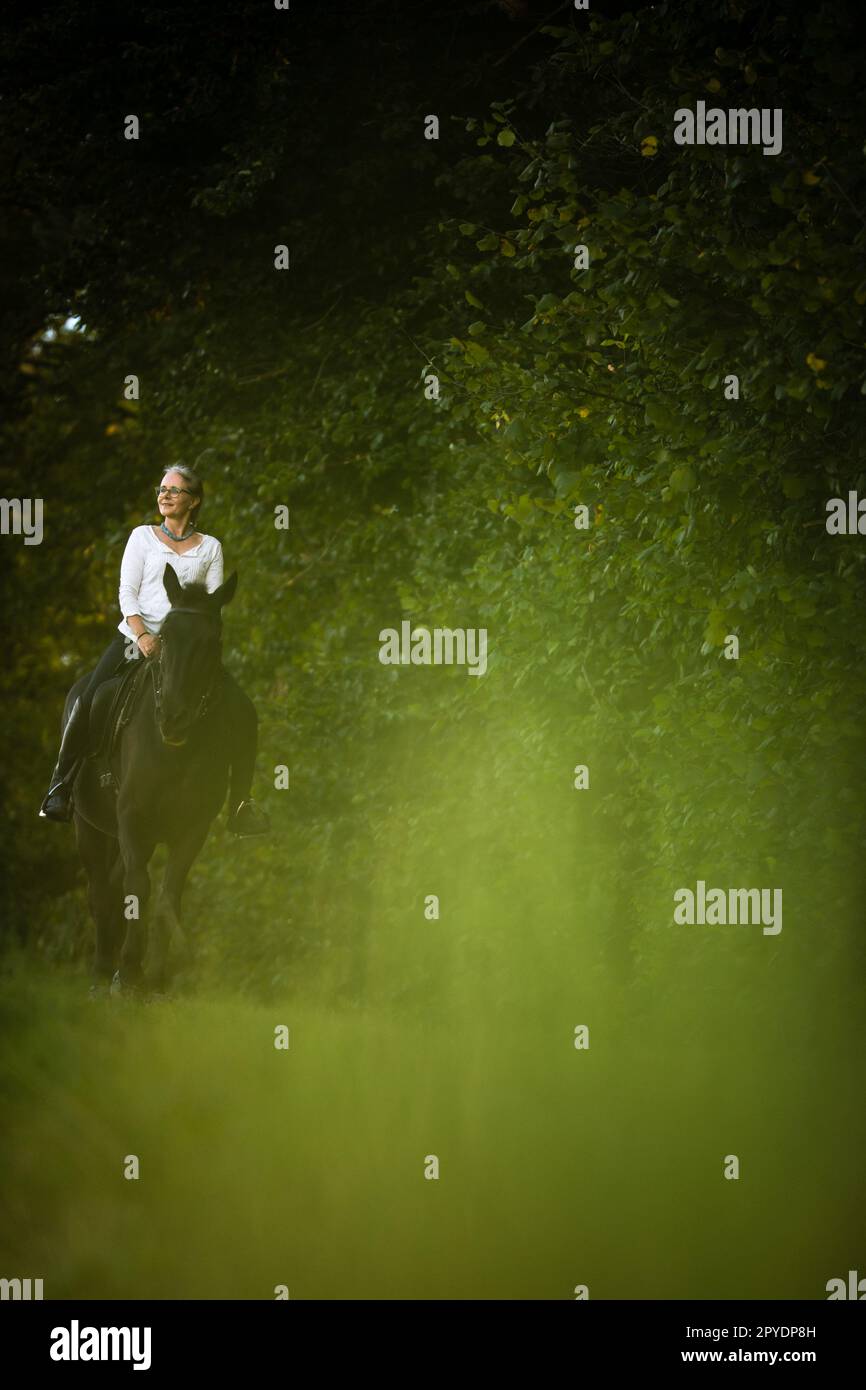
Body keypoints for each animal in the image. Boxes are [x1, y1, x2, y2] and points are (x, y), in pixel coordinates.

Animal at [68, 565, 240, 996]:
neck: (173, 751)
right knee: (101, 891)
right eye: (164, 637)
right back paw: (102, 972)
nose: (174, 718)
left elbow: (167, 895)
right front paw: (129, 972)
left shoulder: (193, 826)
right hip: (89, 827)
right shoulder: (132, 817)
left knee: (113, 887)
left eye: (213, 642)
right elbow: (138, 889)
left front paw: (156, 979)